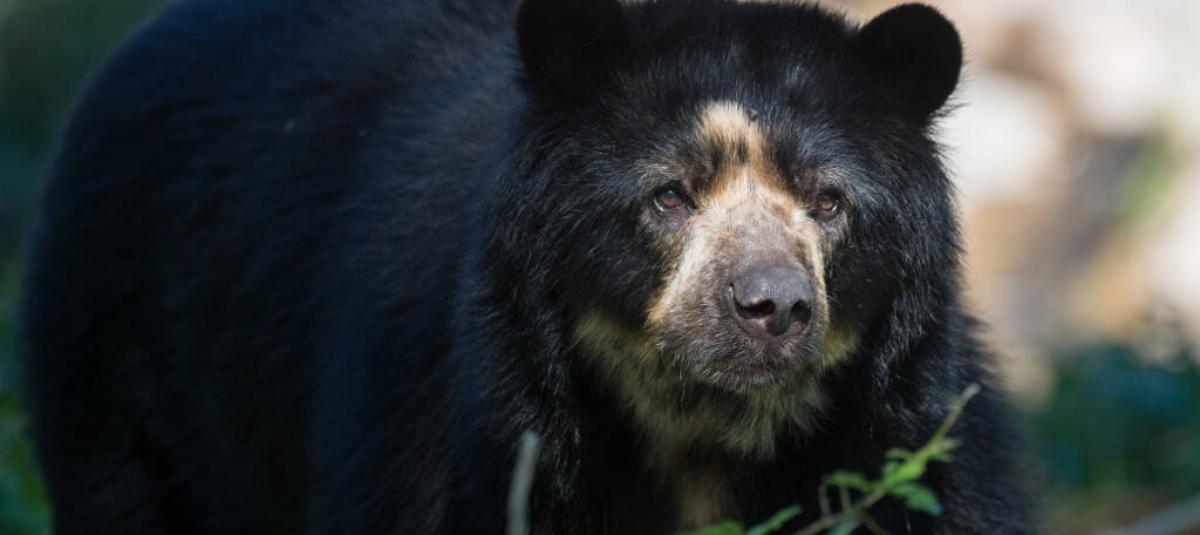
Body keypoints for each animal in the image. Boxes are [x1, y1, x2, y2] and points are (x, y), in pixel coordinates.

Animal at [20, 0, 1035, 533]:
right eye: (668, 195)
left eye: (828, 201)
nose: (771, 305)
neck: (701, 438)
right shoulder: (463, 434)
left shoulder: (916, 443)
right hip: (119, 371)